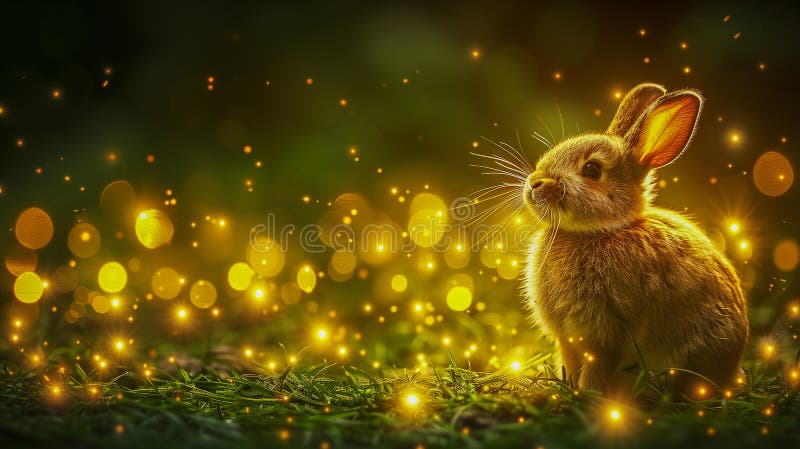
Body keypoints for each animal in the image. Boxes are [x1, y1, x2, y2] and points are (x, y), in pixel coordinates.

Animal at [523, 83, 748, 397]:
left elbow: (597, 367)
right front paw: (565, 390)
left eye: (591, 170)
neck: (599, 231)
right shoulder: (566, 339)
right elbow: (569, 361)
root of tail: (732, 367)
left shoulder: (608, 333)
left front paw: (587, 394)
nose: (535, 183)